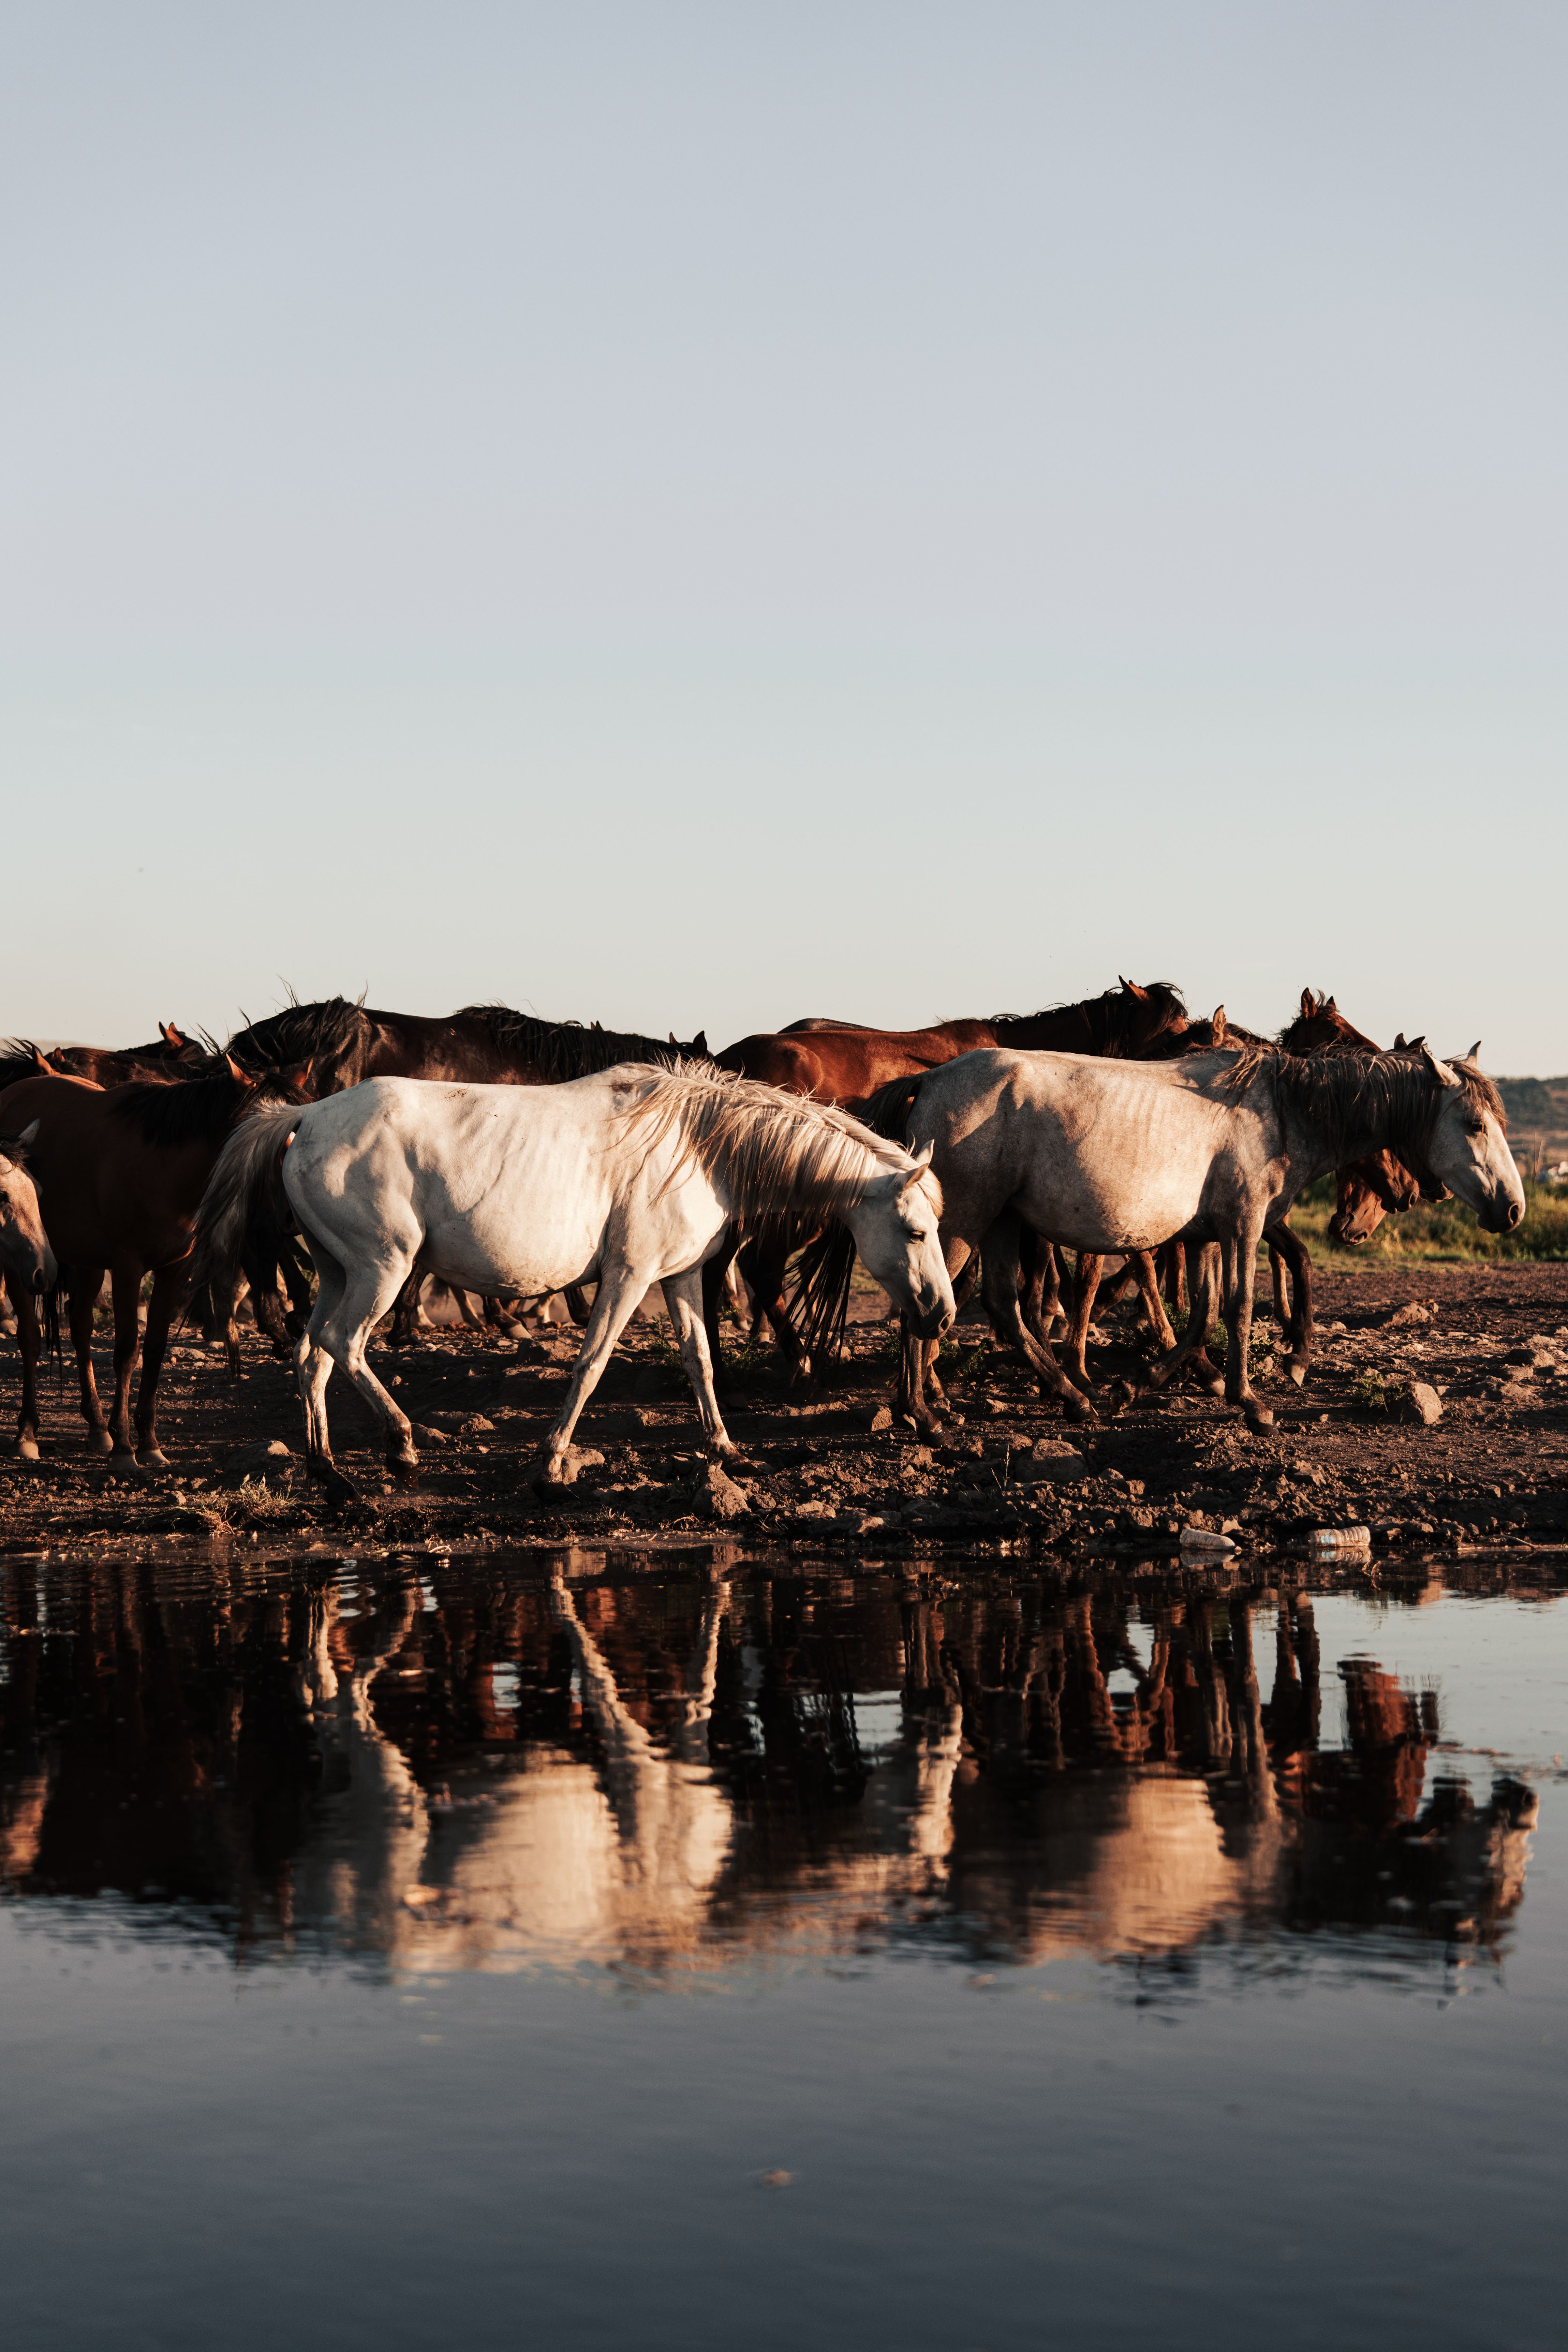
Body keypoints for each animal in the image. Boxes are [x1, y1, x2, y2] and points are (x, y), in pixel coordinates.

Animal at [0, 1060, 293, 1466]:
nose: (289, 1215)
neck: (164, 1168)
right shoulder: (128, 1268)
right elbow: (127, 1351)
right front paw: (125, 1446)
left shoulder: (175, 1271)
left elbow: (154, 1348)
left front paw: (149, 1441)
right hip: (20, 1263)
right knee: (30, 1338)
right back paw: (28, 1431)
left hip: (87, 1263)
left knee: (81, 1328)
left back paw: (96, 1426)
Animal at [190, 1062, 953, 1506]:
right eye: (916, 1231)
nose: (941, 1315)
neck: (695, 1142)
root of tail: (305, 1116)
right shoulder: (630, 1275)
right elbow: (590, 1364)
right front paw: (550, 1461)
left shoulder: (678, 1276)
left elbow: (700, 1360)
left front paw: (726, 1449)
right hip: (383, 1268)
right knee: (344, 1344)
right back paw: (401, 1446)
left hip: (337, 1270)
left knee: (312, 1353)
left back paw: (330, 1471)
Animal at [834, 1041, 1520, 1435]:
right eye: (1473, 1123)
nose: (1510, 1209)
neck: (1281, 1110)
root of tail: (933, 1079)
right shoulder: (1244, 1226)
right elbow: (1238, 1308)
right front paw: (1252, 1404)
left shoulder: (1205, 1236)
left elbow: (1202, 1313)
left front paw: (1133, 1388)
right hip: (960, 1224)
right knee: (924, 1309)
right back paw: (923, 1414)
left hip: (1002, 1222)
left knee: (1002, 1306)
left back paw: (1070, 1400)